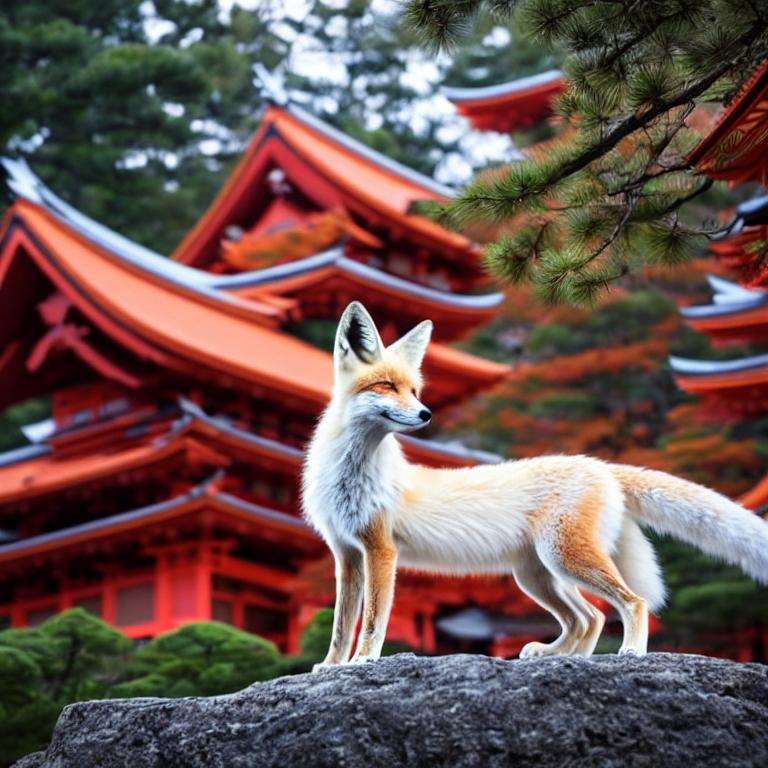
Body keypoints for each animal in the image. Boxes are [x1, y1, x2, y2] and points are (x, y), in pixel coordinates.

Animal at [302, 301, 768, 667]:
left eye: (414, 390)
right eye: (386, 385)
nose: (425, 414)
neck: (349, 476)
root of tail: (599, 465)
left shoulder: (381, 548)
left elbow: (372, 622)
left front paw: (363, 662)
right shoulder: (346, 552)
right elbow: (341, 625)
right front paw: (329, 667)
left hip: (564, 559)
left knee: (629, 603)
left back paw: (631, 651)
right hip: (537, 575)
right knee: (590, 618)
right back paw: (558, 657)